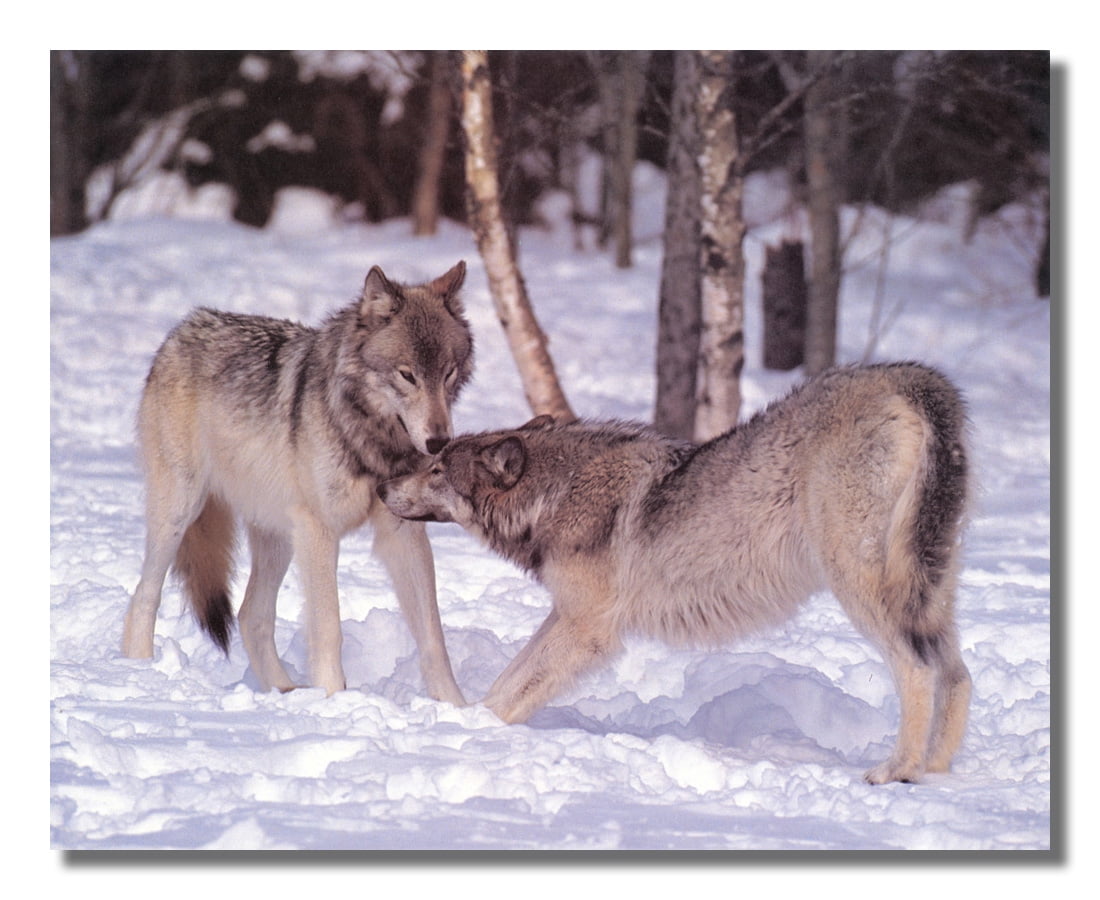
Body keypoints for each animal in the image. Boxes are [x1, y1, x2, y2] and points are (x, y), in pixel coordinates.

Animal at [122, 261, 473, 704]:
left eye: (448, 374)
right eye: (407, 375)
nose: (438, 442)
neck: (372, 438)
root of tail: (182, 328)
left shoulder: (402, 532)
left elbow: (432, 635)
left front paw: (458, 708)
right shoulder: (319, 530)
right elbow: (329, 627)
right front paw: (334, 700)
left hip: (278, 537)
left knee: (250, 614)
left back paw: (286, 692)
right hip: (181, 513)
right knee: (143, 595)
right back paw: (139, 674)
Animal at [378, 363, 972, 783]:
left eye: (437, 469)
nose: (382, 487)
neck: (556, 494)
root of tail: (913, 381)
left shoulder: (588, 630)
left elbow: (511, 693)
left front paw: (465, 729)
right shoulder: (567, 615)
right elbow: (507, 679)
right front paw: (464, 720)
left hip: (860, 585)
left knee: (919, 668)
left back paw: (897, 771)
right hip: (928, 594)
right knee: (958, 675)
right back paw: (936, 773)